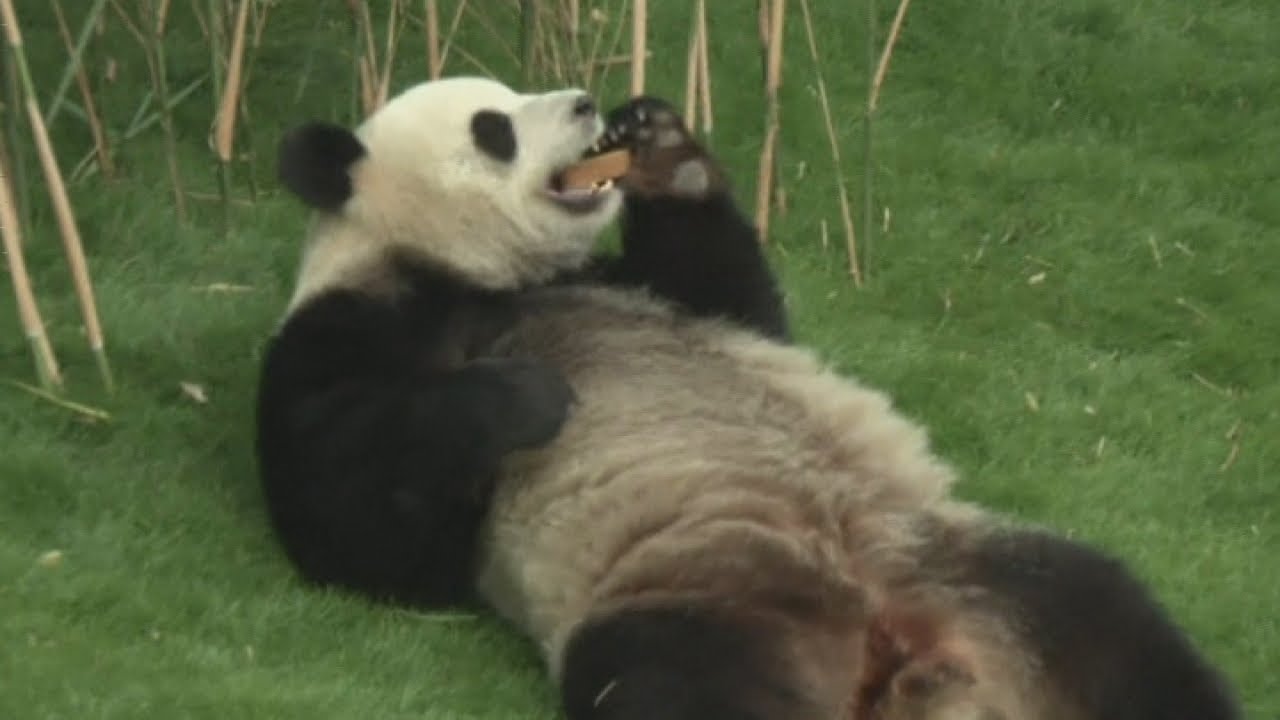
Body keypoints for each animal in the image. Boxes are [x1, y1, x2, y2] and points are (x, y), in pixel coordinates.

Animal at [256, 76, 1240, 720]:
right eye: (494, 127)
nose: (584, 105)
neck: (495, 274)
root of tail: (901, 647)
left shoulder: (667, 290)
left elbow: (746, 301)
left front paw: (663, 146)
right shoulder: (351, 326)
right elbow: (355, 527)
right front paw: (525, 393)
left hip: (984, 573)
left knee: (1124, 636)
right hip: (704, 598)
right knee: (679, 687)